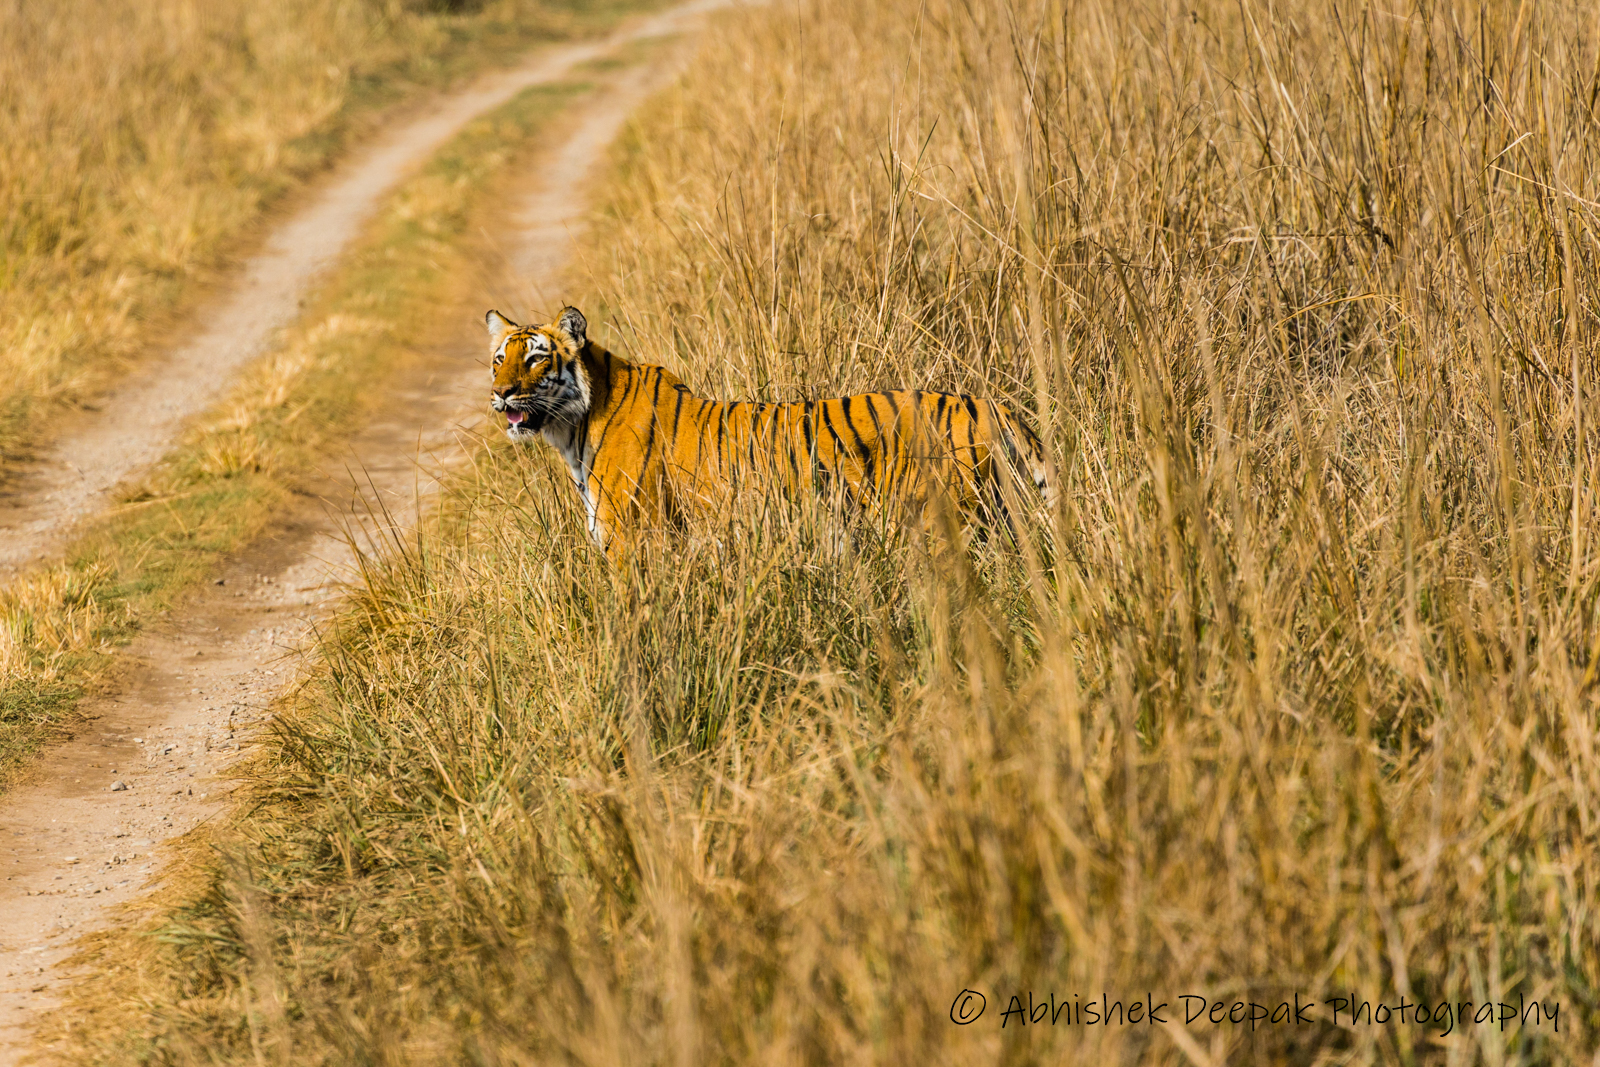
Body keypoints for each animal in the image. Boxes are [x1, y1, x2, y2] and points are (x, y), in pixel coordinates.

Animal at [485, 305, 1051, 554]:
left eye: (535, 359)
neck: (574, 427)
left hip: (941, 524)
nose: (502, 394)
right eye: (498, 359)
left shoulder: (631, 540)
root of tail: (991, 406)